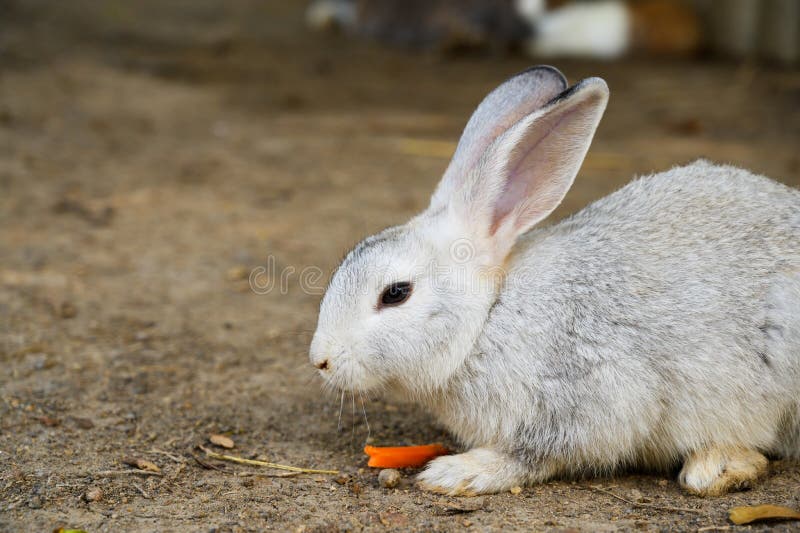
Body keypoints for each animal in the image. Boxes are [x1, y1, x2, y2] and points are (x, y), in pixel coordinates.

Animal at [309, 65, 800, 496]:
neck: (488, 316)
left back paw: (714, 466)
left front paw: (458, 473)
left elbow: (533, 454)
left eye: (396, 294)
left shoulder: (592, 397)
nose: (321, 360)